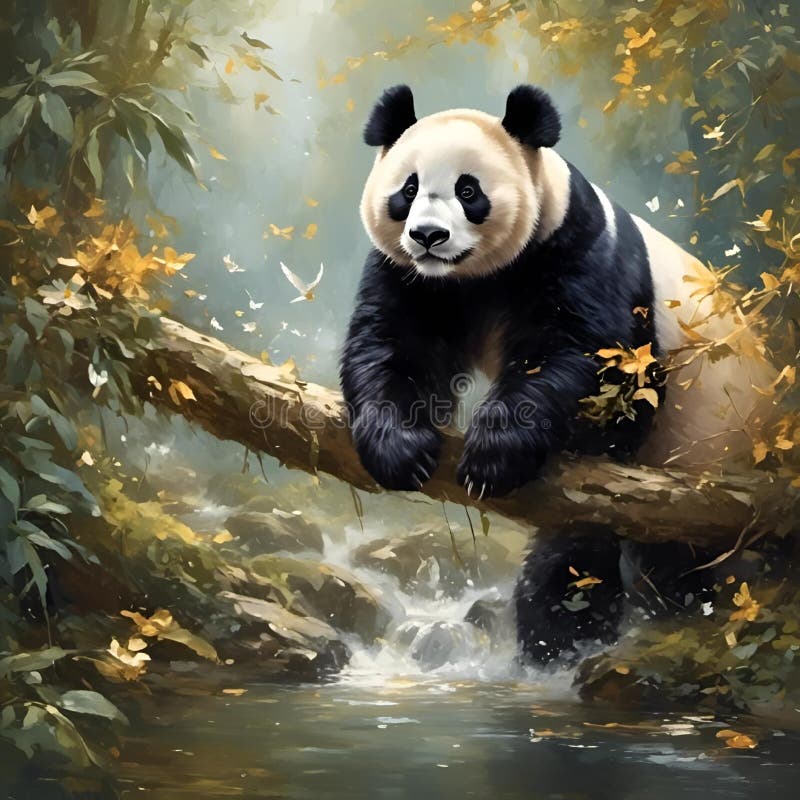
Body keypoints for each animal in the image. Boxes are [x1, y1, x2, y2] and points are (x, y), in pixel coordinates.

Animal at [340, 85, 775, 664]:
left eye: (468, 190)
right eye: (407, 189)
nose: (429, 236)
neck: (475, 275)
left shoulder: (582, 250)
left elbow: (586, 359)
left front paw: (492, 456)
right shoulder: (411, 277)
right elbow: (392, 345)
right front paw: (399, 449)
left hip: (711, 455)